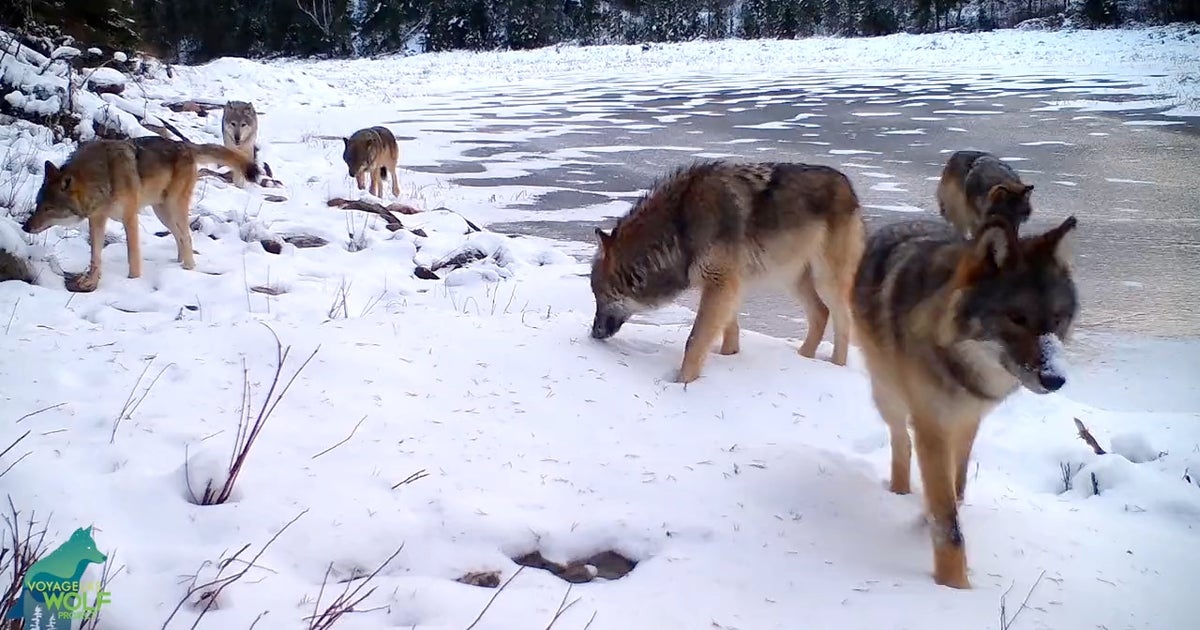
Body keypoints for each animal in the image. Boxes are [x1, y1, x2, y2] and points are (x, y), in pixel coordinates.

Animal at [22, 136, 260, 292]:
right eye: (38, 204)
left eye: (49, 208)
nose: (25, 226)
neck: (102, 177)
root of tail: (185, 145)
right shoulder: (97, 220)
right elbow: (95, 256)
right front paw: (90, 282)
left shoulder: (129, 217)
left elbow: (132, 255)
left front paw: (133, 281)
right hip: (162, 213)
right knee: (180, 237)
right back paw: (178, 262)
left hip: (172, 208)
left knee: (187, 236)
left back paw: (187, 268)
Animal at [590, 160, 866, 384]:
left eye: (601, 296)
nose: (594, 333)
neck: (679, 225)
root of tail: (847, 184)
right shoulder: (727, 283)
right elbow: (729, 329)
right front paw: (729, 356)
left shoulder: (721, 282)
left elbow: (694, 340)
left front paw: (682, 384)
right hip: (791, 278)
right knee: (820, 313)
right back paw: (804, 359)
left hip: (825, 280)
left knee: (843, 319)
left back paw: (836, 367)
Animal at [851, 214, 1079, 589]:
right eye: (1016, 318)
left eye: (1057, 320)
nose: (1055, 379)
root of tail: (903, 221)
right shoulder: (933, 426)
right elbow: (948, 524)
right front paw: (954, 587)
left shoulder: (967, 420)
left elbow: (955, 490)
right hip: (888, 394)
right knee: (900, 440)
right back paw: (898, 490)